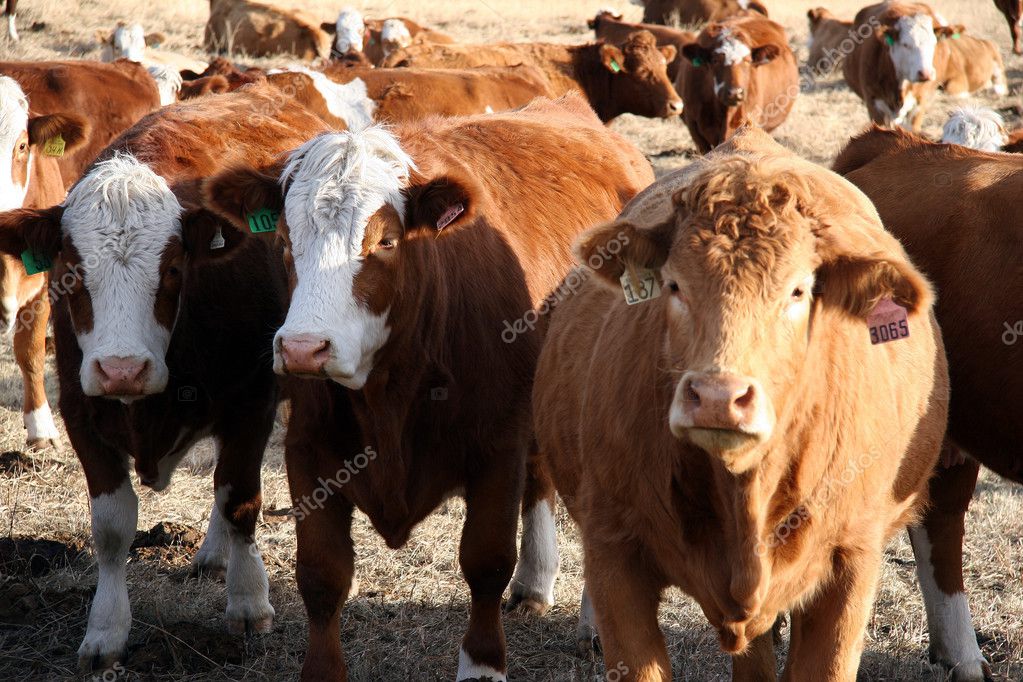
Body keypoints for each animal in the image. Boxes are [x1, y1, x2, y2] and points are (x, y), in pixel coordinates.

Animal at [0, 83, 333, 671]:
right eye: (71, 270)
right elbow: (112, 528)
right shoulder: (82, 411)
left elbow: (240, 497)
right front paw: (105, 631)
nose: (122, 369)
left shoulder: (252, 402)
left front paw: (249, 602)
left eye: (174, 268)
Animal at [200, 92, 654, 681]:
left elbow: (485, 562)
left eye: (387, 240)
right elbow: (321, 575)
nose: (302, 348)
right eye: (283, 241)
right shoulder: (308, 449)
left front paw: (482, 665)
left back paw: (596, 624)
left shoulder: (496, 449)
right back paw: (535, 585)